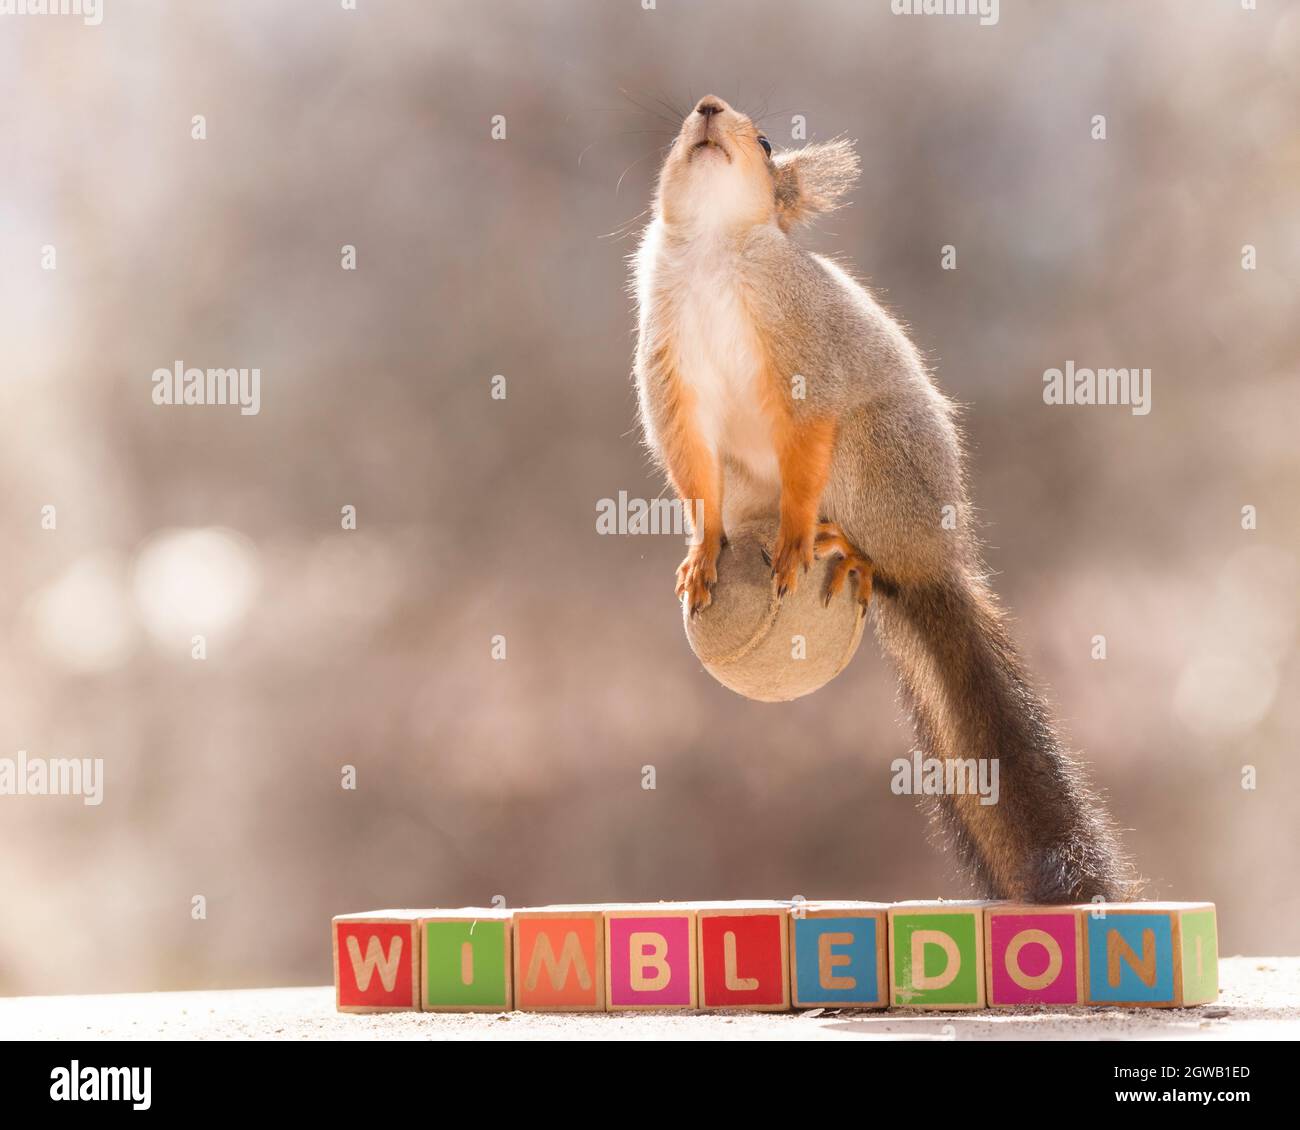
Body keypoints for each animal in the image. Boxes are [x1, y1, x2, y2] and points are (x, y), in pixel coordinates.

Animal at [631, 96, 1132, 903]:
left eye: (764, 140)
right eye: (681, 129)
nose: (706, 108)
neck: (709, 249)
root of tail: (935, 560)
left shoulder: (805, 343)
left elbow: (807, 427)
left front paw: (795, 539)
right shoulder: (667, 366)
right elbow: (690, 470)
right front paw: (700, 556)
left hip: (871, 458)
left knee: (869, 534)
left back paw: (845, 548)